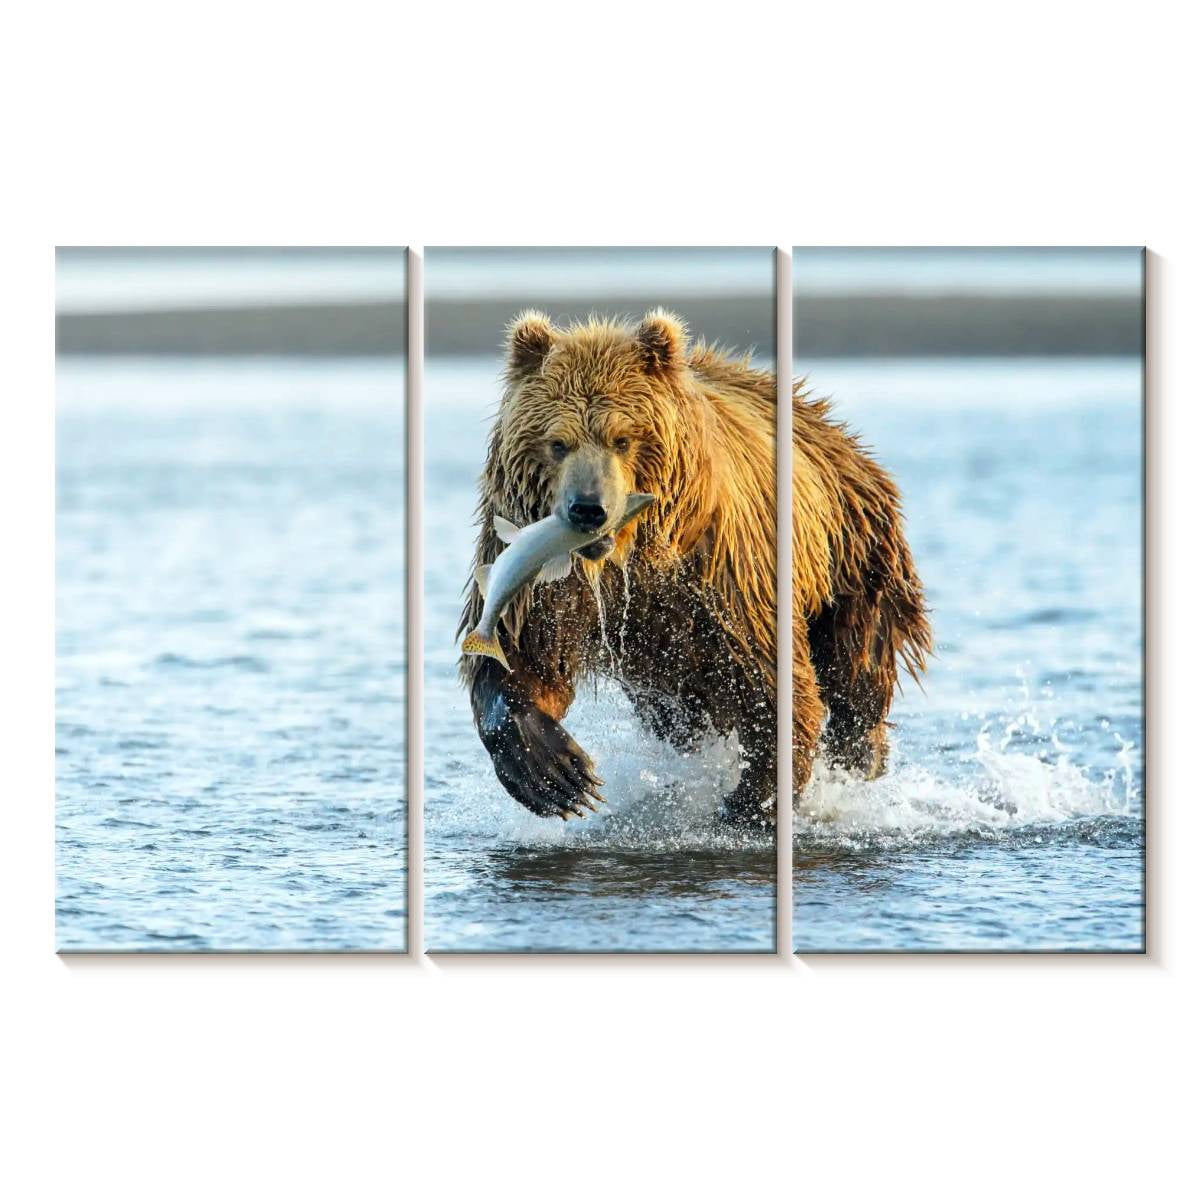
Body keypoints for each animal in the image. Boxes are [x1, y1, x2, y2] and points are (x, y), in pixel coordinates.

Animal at [458, 308, 931, 824]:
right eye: (557, 442)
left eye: (623, 438)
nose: (588, 509)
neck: (630, 557)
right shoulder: (544, 586)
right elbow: (523, 659)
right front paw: (557, 774)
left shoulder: (726, 576)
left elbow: (770, 679)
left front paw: (751, 802)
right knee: (678, 714)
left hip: (854, 555)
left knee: (858, 671)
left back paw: (860, 757)